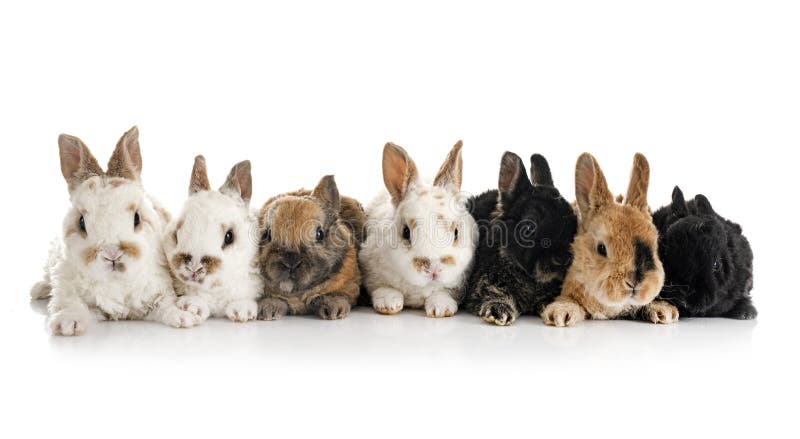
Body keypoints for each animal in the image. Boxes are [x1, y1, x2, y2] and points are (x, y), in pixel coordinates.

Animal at [29, 126, 200, 336]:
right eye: (81, 222)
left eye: (137, 218)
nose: (112, 254)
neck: (115, 281)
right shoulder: (65, 282)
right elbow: (69, 302)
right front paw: (67, 324)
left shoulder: (156, 290)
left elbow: (165, 303)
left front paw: (183, 318)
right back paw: (38, 290)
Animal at [257, 175, 365, 320]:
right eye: (267, 235)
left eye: (320, 234)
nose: (290, 262)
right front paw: (268, 311)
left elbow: (336, 295)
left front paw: (335, 310)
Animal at [359, 141, 477, 317]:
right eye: (406, 232)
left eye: (456, 232)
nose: (433, 269)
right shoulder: (371, 271)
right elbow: (382, 288)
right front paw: (389, 304)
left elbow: (443, 293)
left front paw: (441, 308)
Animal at [465, 152, 577, 326]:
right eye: (529, 228)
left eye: (574, 223)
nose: (563, 258)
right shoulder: (483, 285)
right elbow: (494, 292)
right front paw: (498, 312)